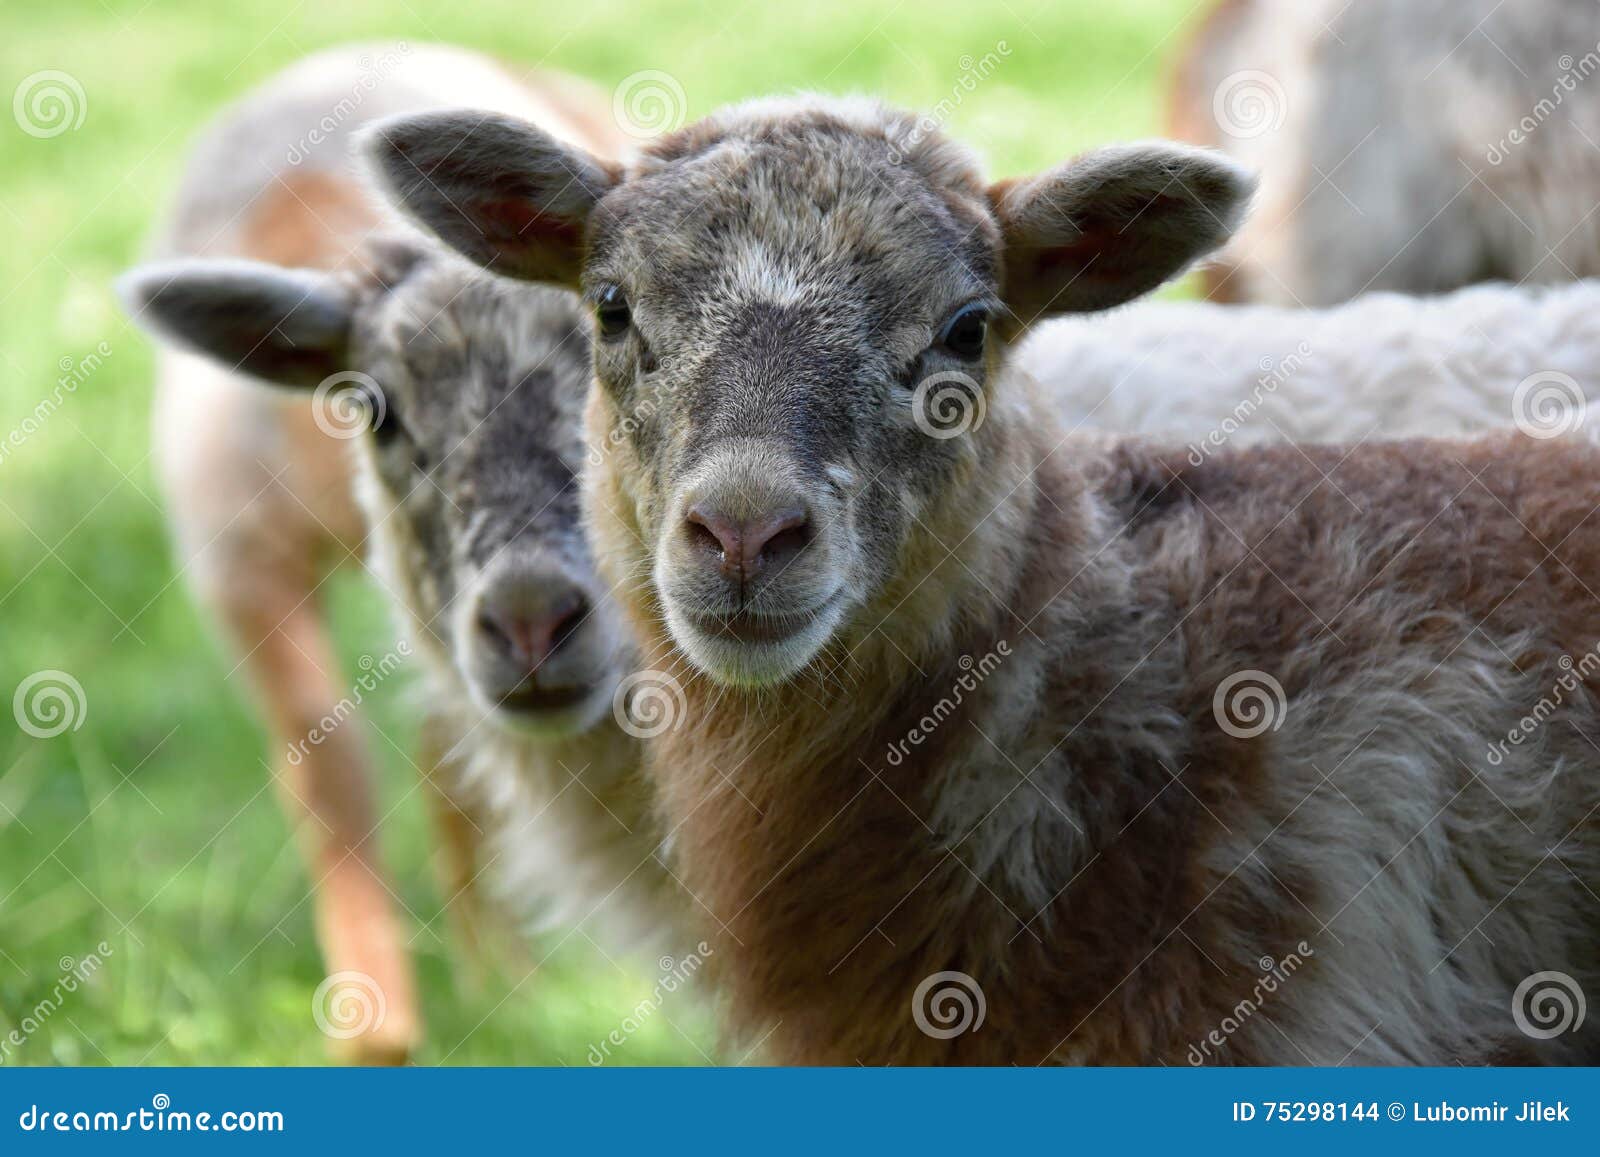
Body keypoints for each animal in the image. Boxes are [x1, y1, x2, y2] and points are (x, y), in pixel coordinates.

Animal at [118, 42, 675, 1063]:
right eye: (378, 410)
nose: (530, 620)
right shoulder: (240, 568)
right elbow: (325, 767)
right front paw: (375, 1027)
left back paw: (499, 970)